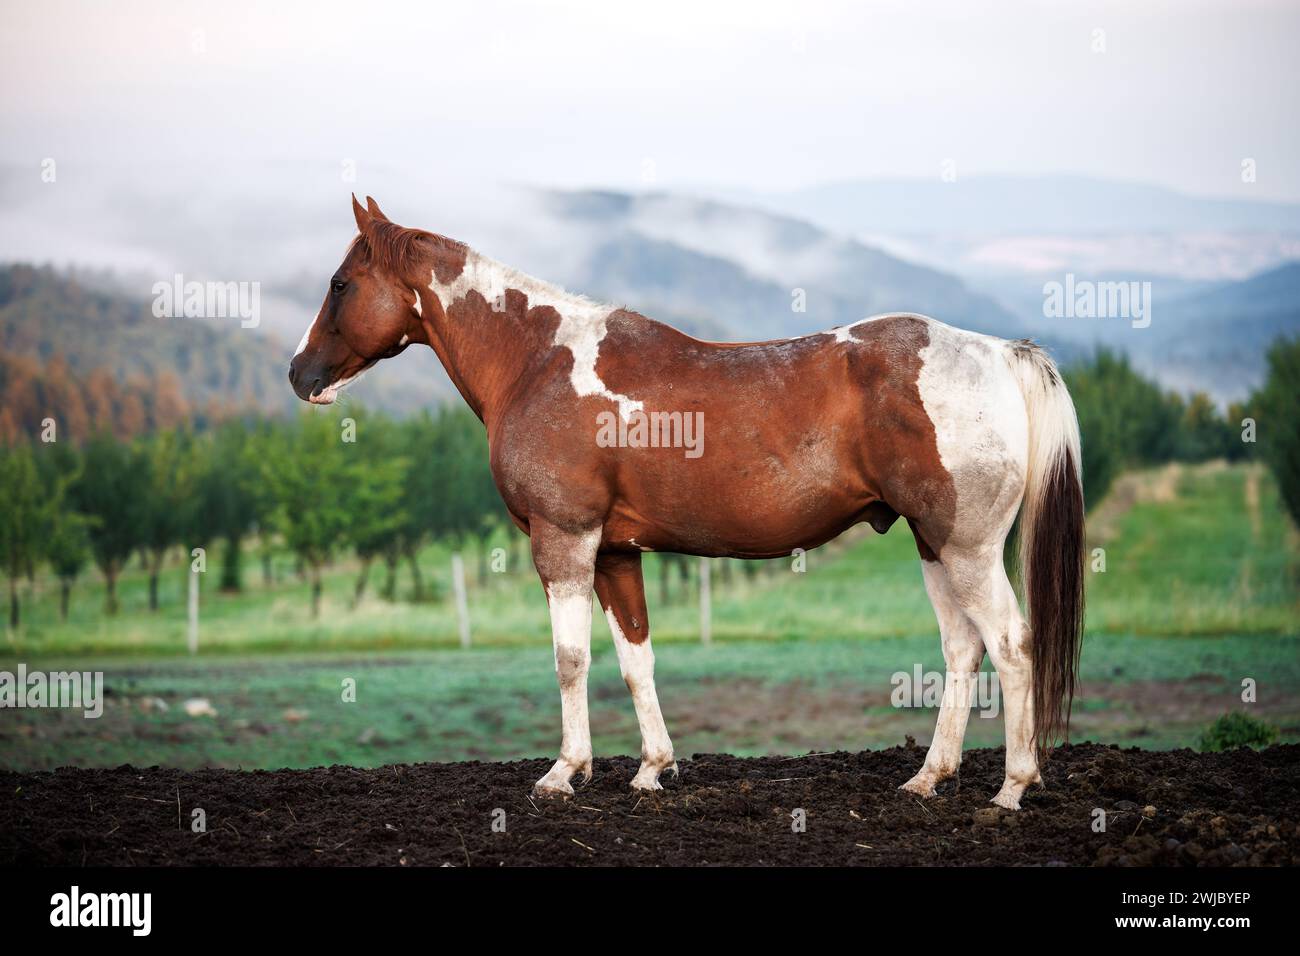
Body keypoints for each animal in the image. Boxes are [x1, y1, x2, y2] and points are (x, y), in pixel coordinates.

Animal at [289, 195, 1085, 810]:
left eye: (340, 283)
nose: (300, 374)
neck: (537, 362)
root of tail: (1000, 353)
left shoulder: (564, 541)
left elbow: (570, 659)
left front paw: (563, 773)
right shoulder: (614, 554)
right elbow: (635, 659)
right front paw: (651, 769)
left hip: (966, 547)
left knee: (1010, 644)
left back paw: (1012, 787)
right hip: (932, 542)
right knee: (961, 648)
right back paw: (929, 777)